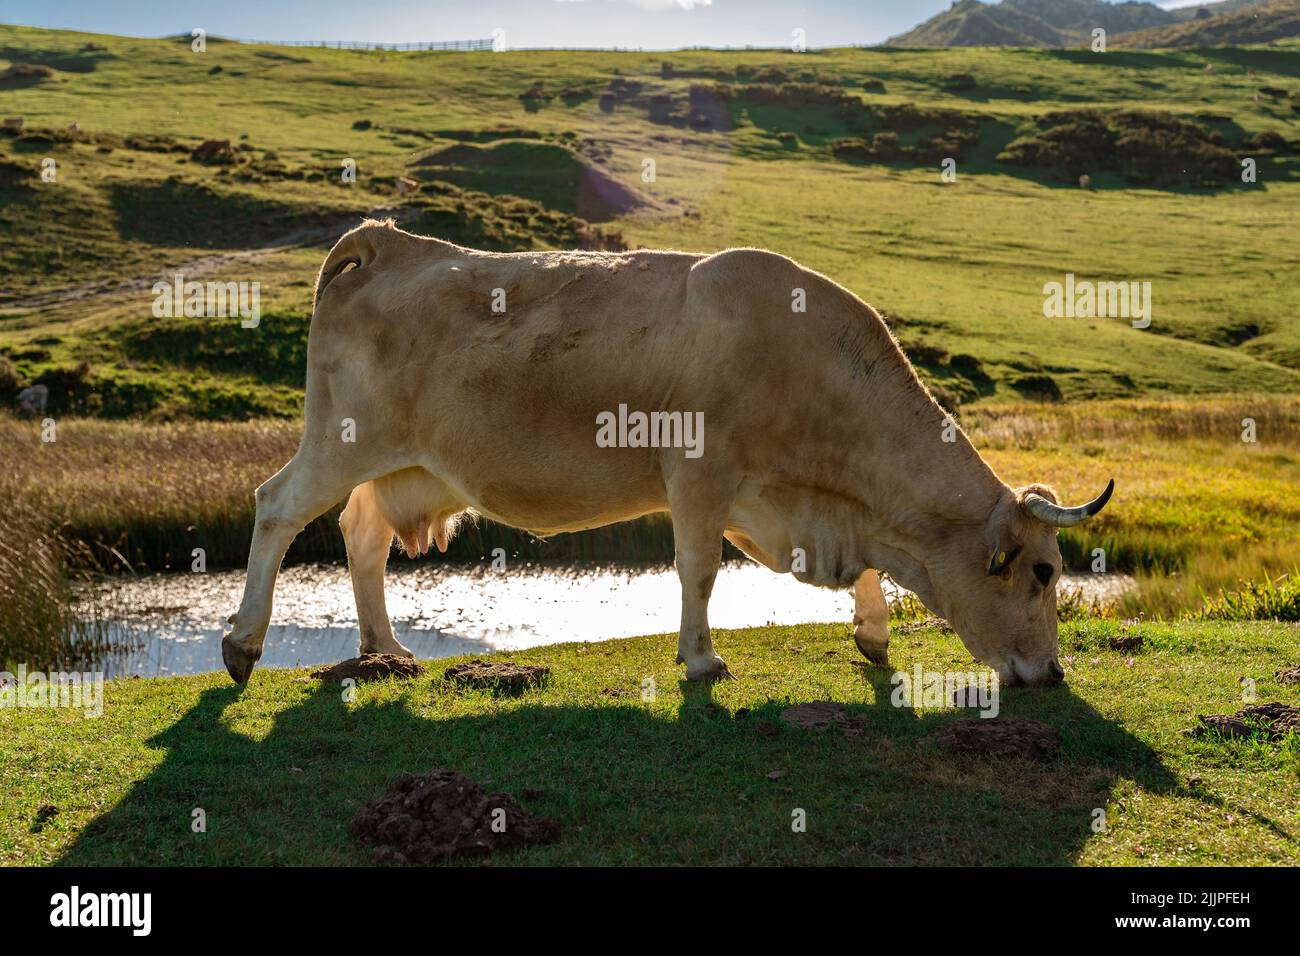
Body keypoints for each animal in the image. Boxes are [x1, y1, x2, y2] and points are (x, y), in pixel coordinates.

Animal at [222, 219, 1113, 687]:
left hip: (403, 465)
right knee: (276, 506)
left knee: (363, 535)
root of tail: (386, 238)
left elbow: (862, 575)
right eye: (1043, 573)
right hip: (342, 443)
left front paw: (870, 633)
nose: (1054, 674)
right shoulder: (699, 476)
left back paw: (386, 650)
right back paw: (242, 645)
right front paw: (701, 660)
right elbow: (698, 570)